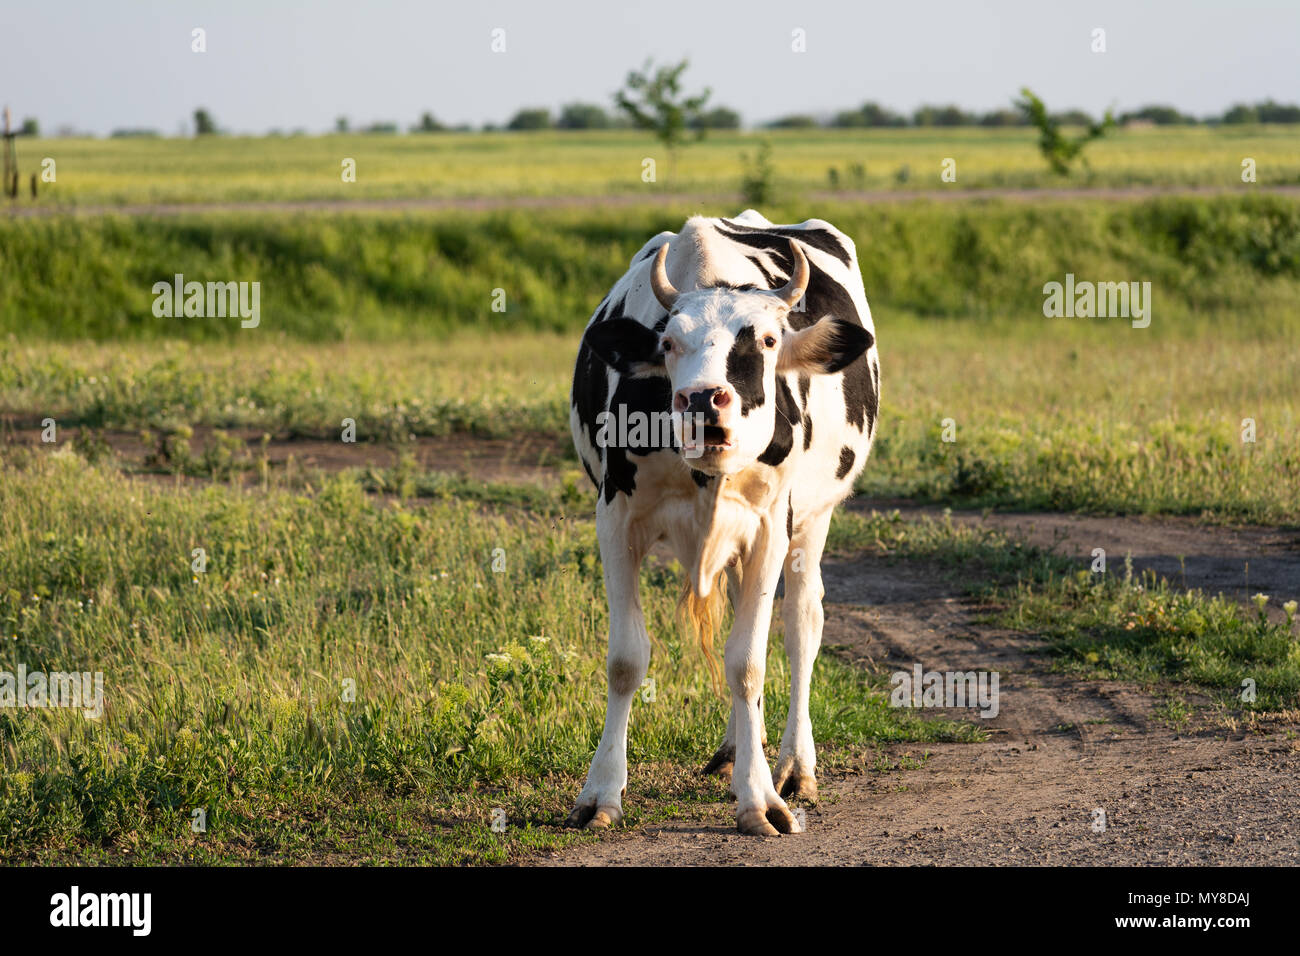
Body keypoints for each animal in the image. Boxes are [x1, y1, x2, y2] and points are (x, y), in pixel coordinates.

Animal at [567, 210, 879, 836]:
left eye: (767, 340)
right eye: (667, 341)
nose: (701, 399)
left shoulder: (771, 526)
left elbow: (749, 664)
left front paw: (760, 800)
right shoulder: (615, 518)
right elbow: (625, 660)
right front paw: (601, 792)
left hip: (814, 520)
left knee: (802, 624)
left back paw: (793, 765)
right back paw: (738, 747)